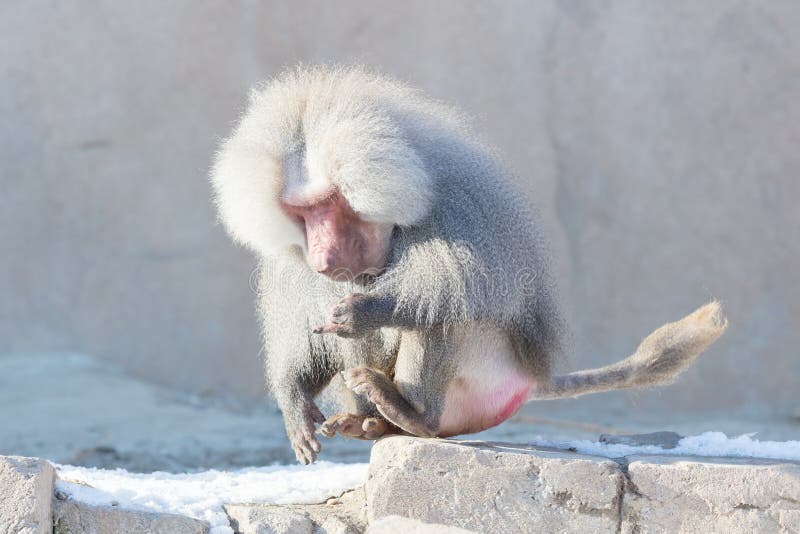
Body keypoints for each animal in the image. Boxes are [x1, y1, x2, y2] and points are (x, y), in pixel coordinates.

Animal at [210, 65, 727, 464]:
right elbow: (316, 336)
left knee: (444, 307)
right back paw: (372, 423)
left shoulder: (459, 206)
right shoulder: (294, 266)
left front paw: (363, 311)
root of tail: (529, 382)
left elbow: (470, 286)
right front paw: (295, 407)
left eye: (328, 203)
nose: (318, 256)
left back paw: (411, 413)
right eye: (299, 213)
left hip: (488, 373)